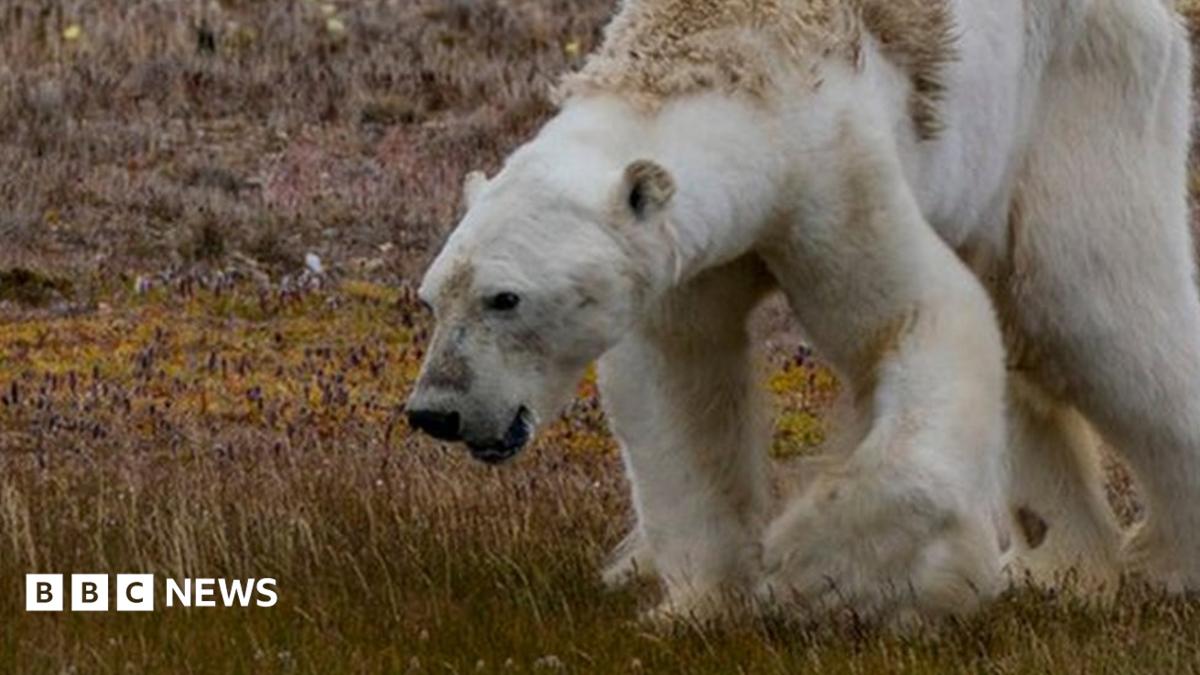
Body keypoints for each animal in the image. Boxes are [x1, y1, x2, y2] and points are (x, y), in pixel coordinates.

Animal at [406, 0, 1200, 624]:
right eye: (433, 295)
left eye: (505, 297)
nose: (435, 410)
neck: (724, 55)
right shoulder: (687, 256)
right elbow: (679, 386)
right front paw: (698, 603)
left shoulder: (833, 170)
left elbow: (916, 319)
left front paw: (814, 570)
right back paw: (1059, 567)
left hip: (1074, 98)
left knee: (1094, 311)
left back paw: (1166, 561)